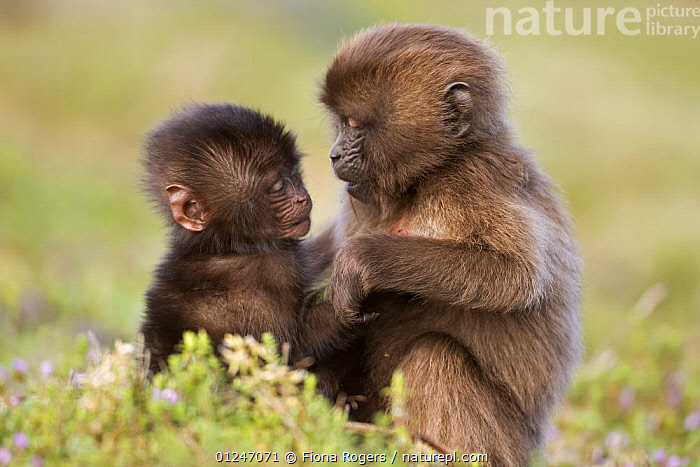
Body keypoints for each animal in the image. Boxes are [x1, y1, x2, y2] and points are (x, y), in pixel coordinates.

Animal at [139, 103, 361, 395]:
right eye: (277, 186)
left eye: (295, 173)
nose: (303, 198)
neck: (227, 246)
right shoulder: (268, 269)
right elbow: (290, 351)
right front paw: (360, 292)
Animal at [310, 24, 581, 466]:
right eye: (340, 123)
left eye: (353, 123)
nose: (334, 155)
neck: (428, 176)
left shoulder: (471, 181)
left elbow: (517, 275)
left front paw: (360, 263)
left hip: (505, 443)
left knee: (436, 356)